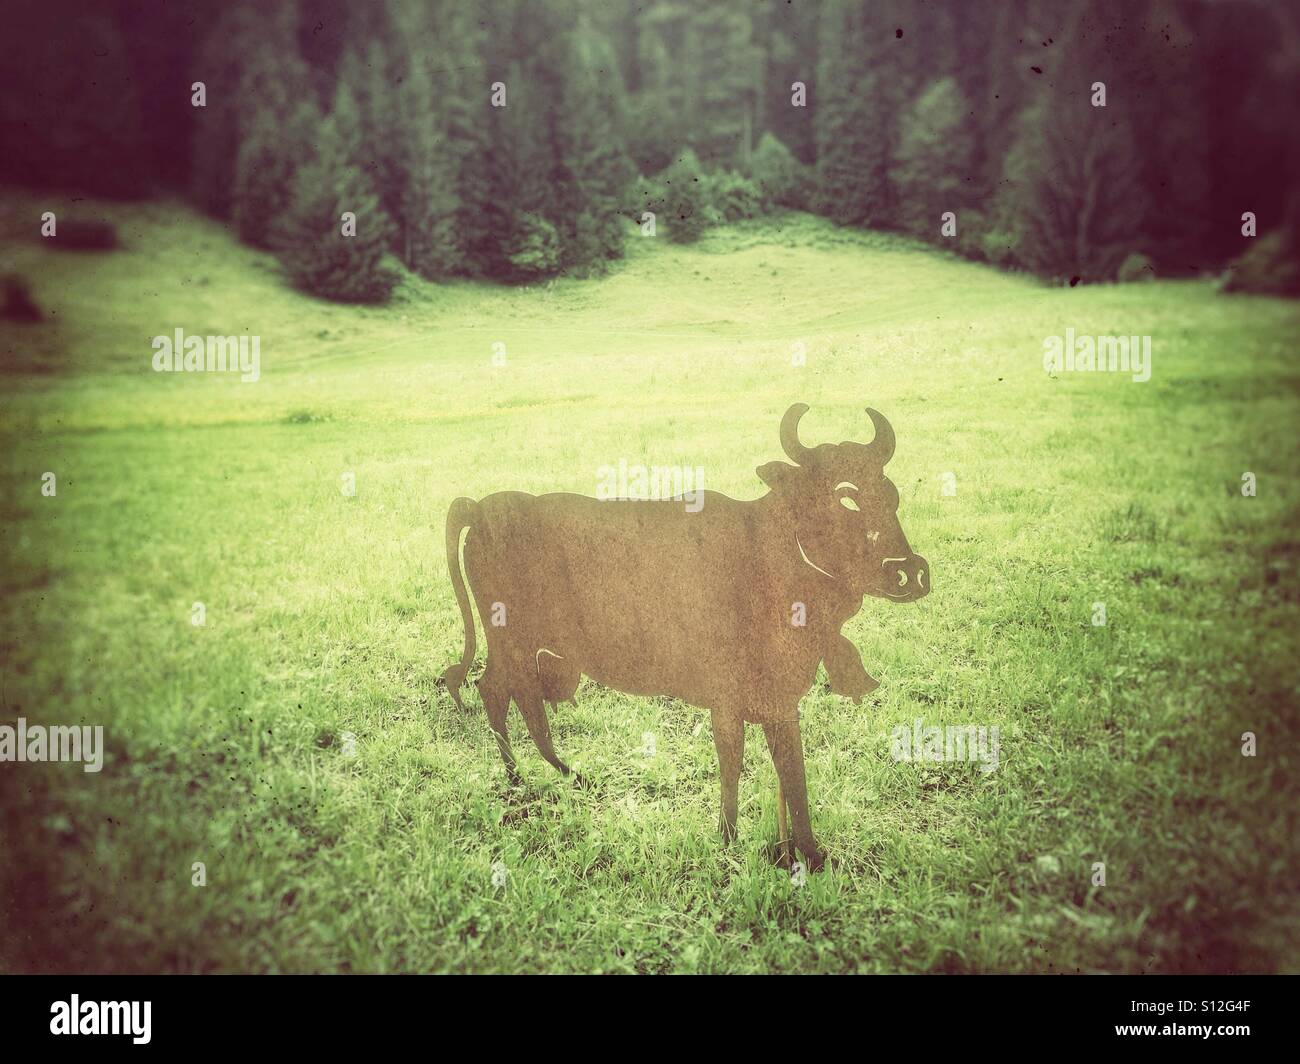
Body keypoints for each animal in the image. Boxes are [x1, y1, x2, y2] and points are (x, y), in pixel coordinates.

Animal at [441, 403, 930, 871]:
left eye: (891, 494)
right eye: (845, 497)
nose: (909, 572)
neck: (766, 556)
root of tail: (480, 508)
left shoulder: (779, 700)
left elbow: (789, 770)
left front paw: (804, 852)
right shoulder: (730, 698)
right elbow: (738, 759)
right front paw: (734, 837)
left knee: (519, 697)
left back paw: (560, 772)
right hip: (510, 641)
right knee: (496, 690)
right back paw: (520, 777)